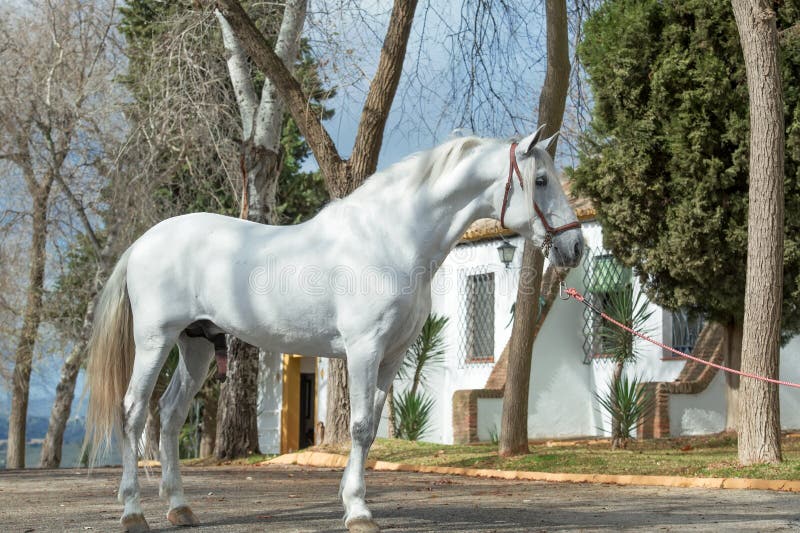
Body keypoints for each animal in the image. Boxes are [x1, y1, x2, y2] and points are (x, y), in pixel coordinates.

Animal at [84, 126, 584, 532]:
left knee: (169, 415)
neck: (390, 239)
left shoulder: (393, 356)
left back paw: (180, 509)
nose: (575, 246)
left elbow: (372, 426)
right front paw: (359, 511)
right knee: (133, 412)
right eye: (541, 181)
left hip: (197, 345)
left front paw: (351, 501)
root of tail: (144, 242)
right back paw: (133, 513)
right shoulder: (364, 350)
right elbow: (360, 427)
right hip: (156, 340)